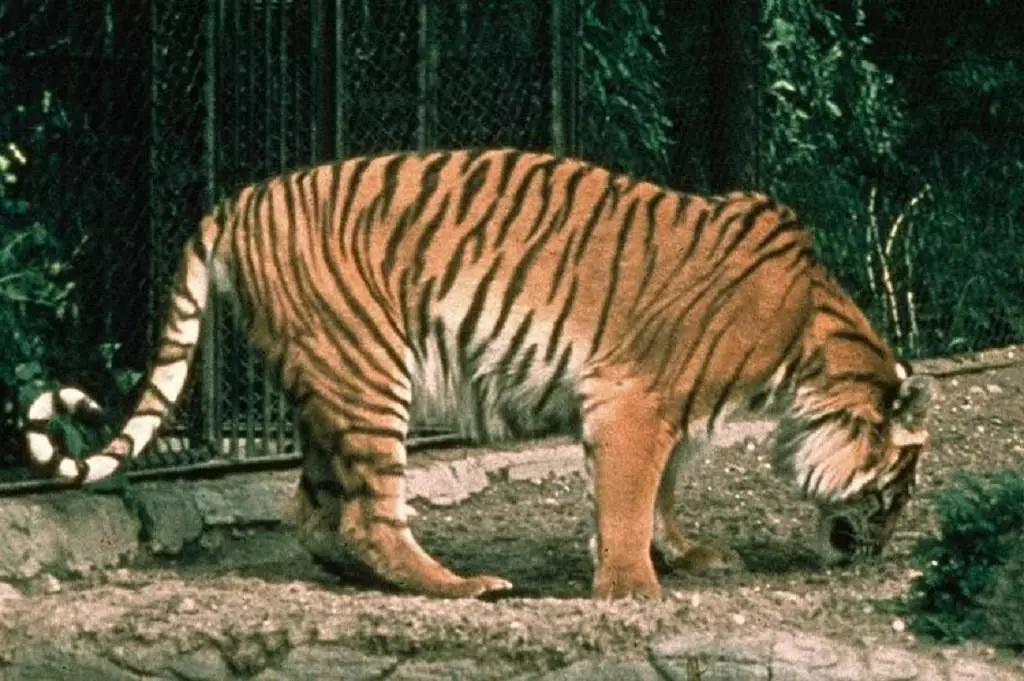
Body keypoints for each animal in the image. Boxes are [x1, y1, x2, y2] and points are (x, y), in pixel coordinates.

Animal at [25, 147, 937, 593]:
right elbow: (631, 498)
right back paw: (463, 586)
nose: (876, 552)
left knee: (317, 513)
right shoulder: (634, 400)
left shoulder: (673, 413)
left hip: (326, 383)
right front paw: (632, 588)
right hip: (369, 372)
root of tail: (237, 202)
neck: (809, 355)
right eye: (895, 489)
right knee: (369, 515)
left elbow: (665, 491)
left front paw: (684, 554)